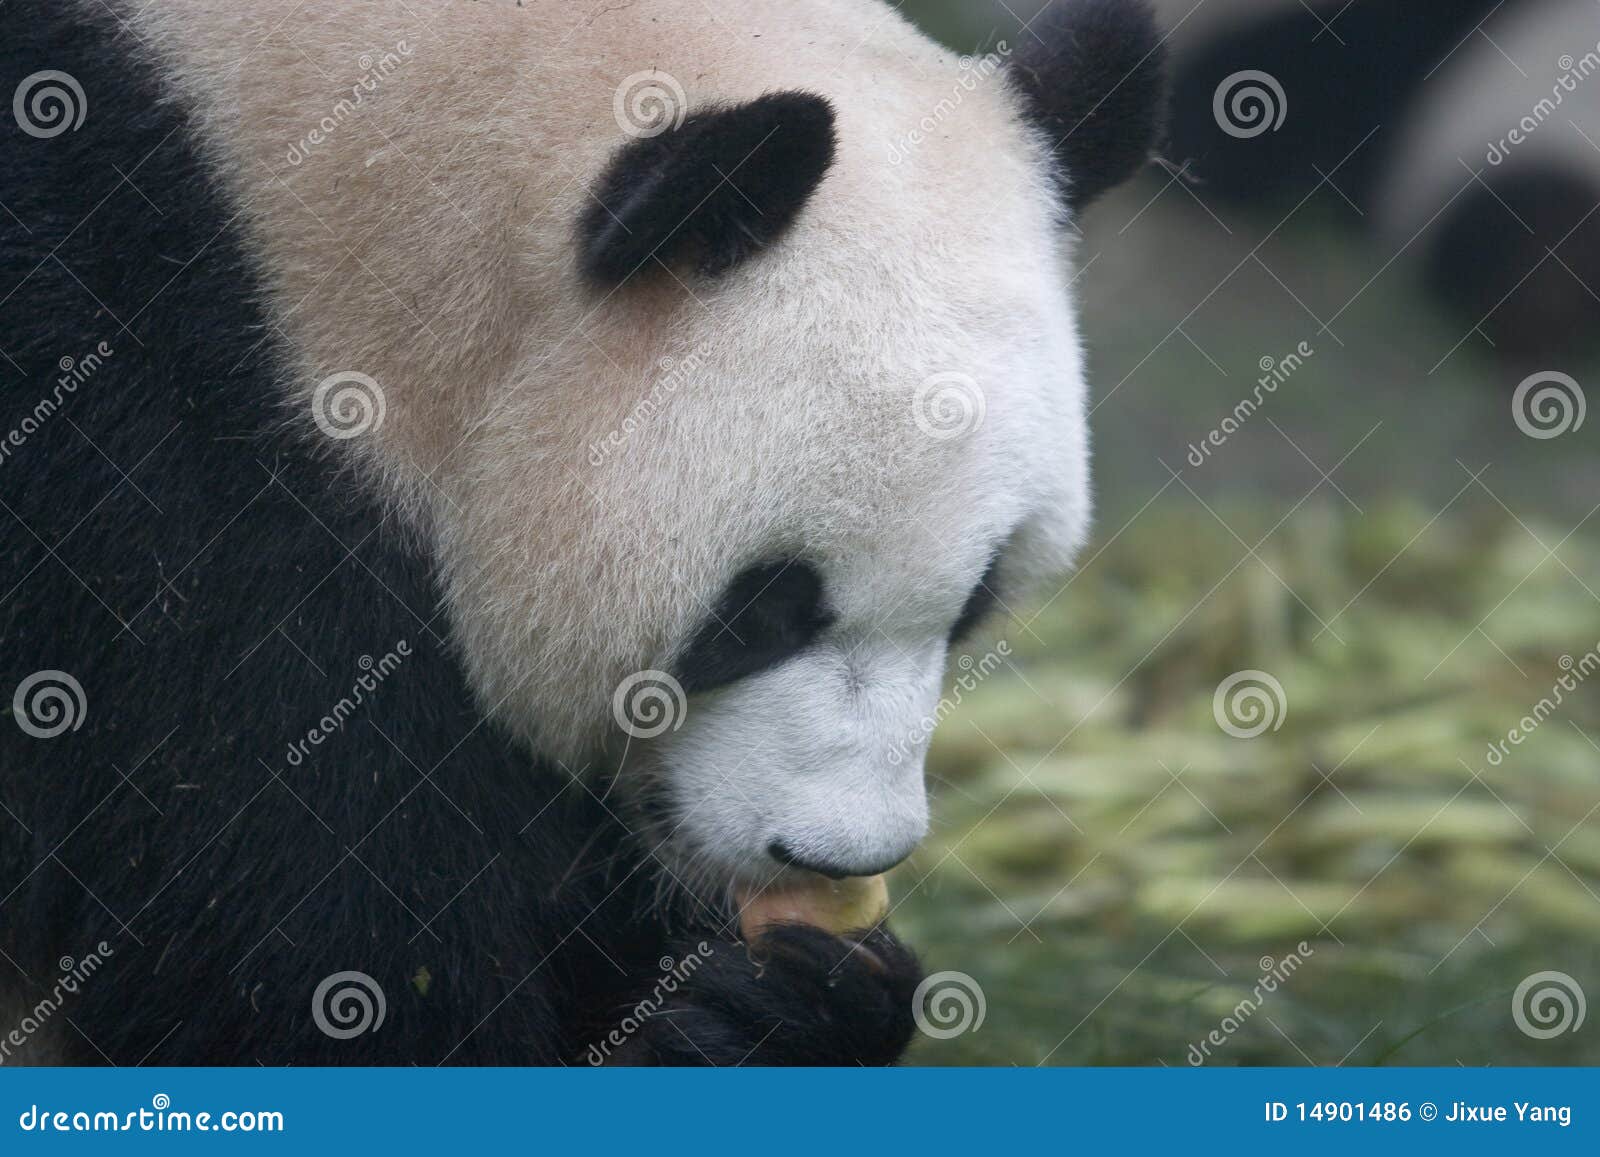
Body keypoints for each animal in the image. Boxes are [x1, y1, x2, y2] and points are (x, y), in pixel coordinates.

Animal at [0, 0, 1165, 1065]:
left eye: (975, 602)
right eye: (759, 611)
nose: (836, 854)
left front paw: (802, 997)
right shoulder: (160, 447)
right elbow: (289, 956)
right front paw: (725, 1020)